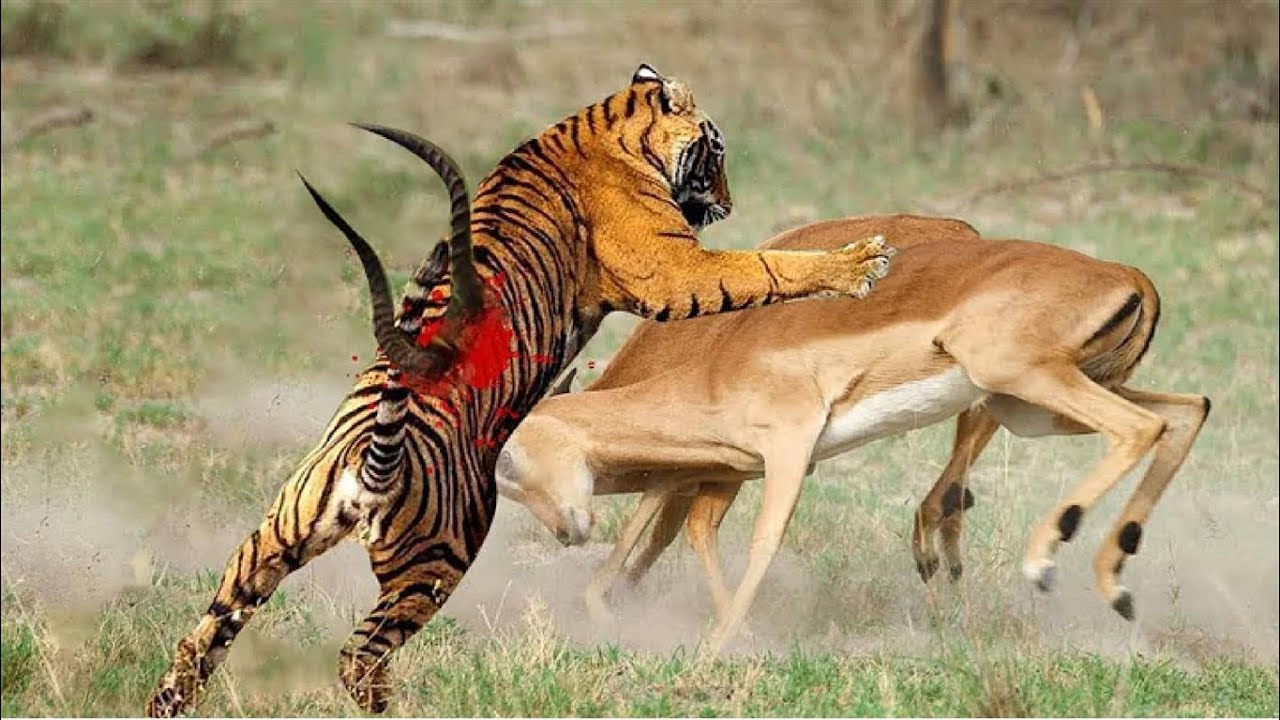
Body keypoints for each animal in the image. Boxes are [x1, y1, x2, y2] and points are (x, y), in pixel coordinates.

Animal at [146, 63, 894, 716]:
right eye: (717, 152)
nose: (731, 202)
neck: (602, 125)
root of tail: (371, 463)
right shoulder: (675, 271)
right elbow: (766, 266)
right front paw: (862, 263)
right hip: (436, 563)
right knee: (358, 657)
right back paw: (406, 709)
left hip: (266, 545)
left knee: (201, 639)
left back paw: (167, 702)